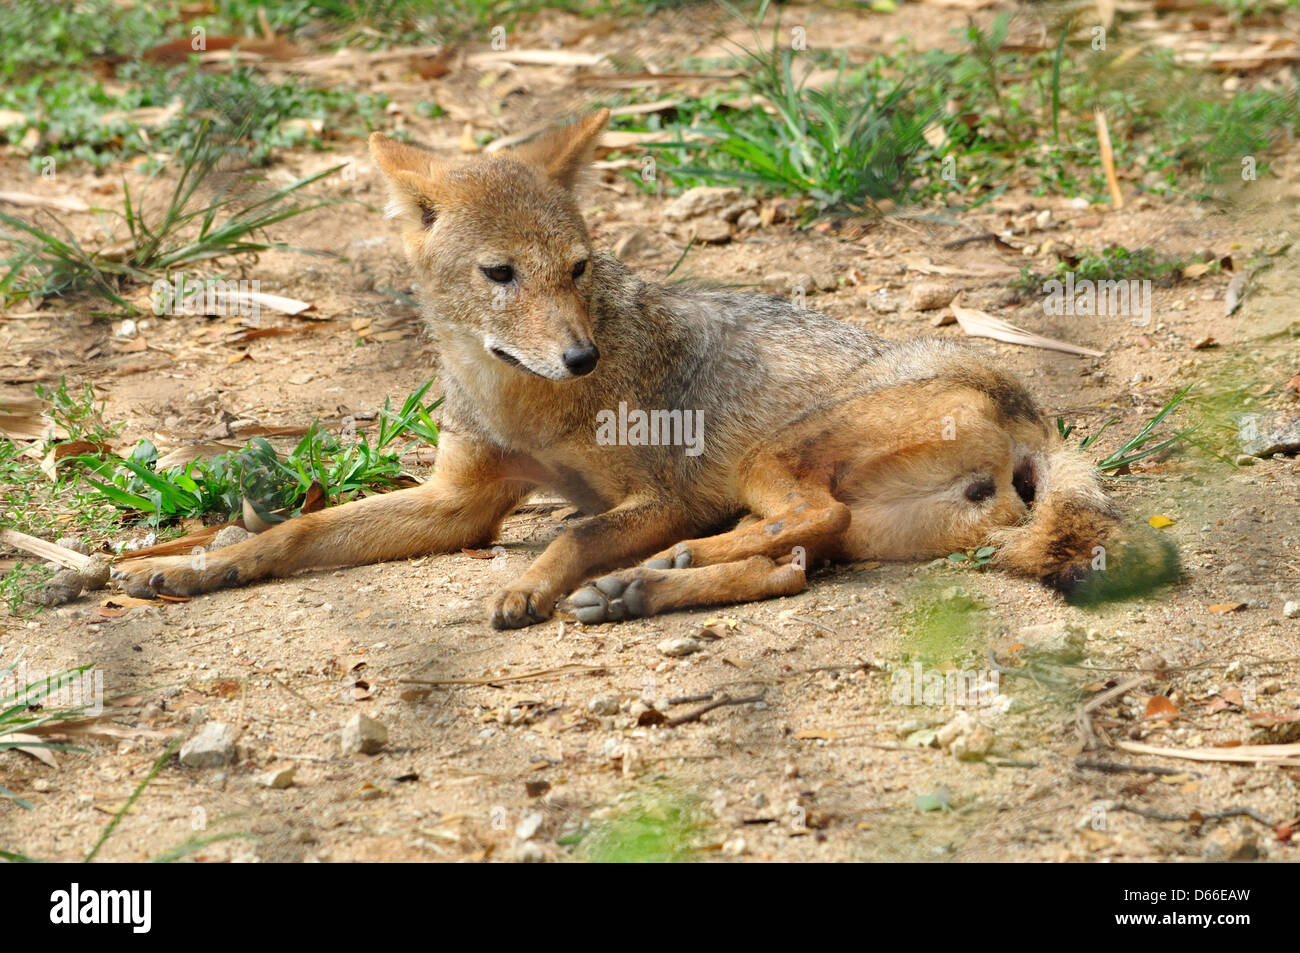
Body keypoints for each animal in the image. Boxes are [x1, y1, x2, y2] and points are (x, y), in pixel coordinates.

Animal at [112, 109, 1178, 628]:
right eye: (501, 274)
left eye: (579, 268)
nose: (579, 350)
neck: (524, 402)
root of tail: (1034, 403)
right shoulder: (459, 503)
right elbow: (301, 531)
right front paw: (206, 564)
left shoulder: (663, 495)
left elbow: (573, 531)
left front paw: (531, 585)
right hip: (846, 524)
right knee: (793, 563)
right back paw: (648, 589)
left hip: (769, 465)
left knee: (792, 526)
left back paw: (652, 575)